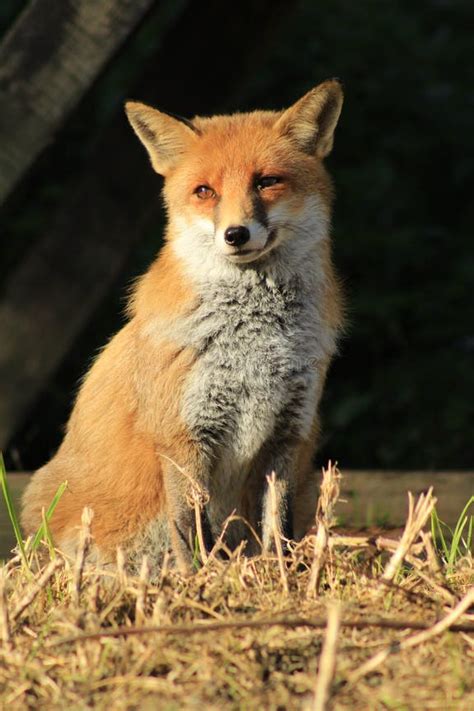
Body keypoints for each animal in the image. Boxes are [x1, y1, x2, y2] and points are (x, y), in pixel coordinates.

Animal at [21, 80, 344, 574]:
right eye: (204, 191)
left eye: (267, 182)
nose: (235, 234)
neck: (253, 342)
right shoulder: (183, 437)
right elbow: (191, 529)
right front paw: (201, 579)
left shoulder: (288, 435)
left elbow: (279, 529)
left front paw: (281, 577)